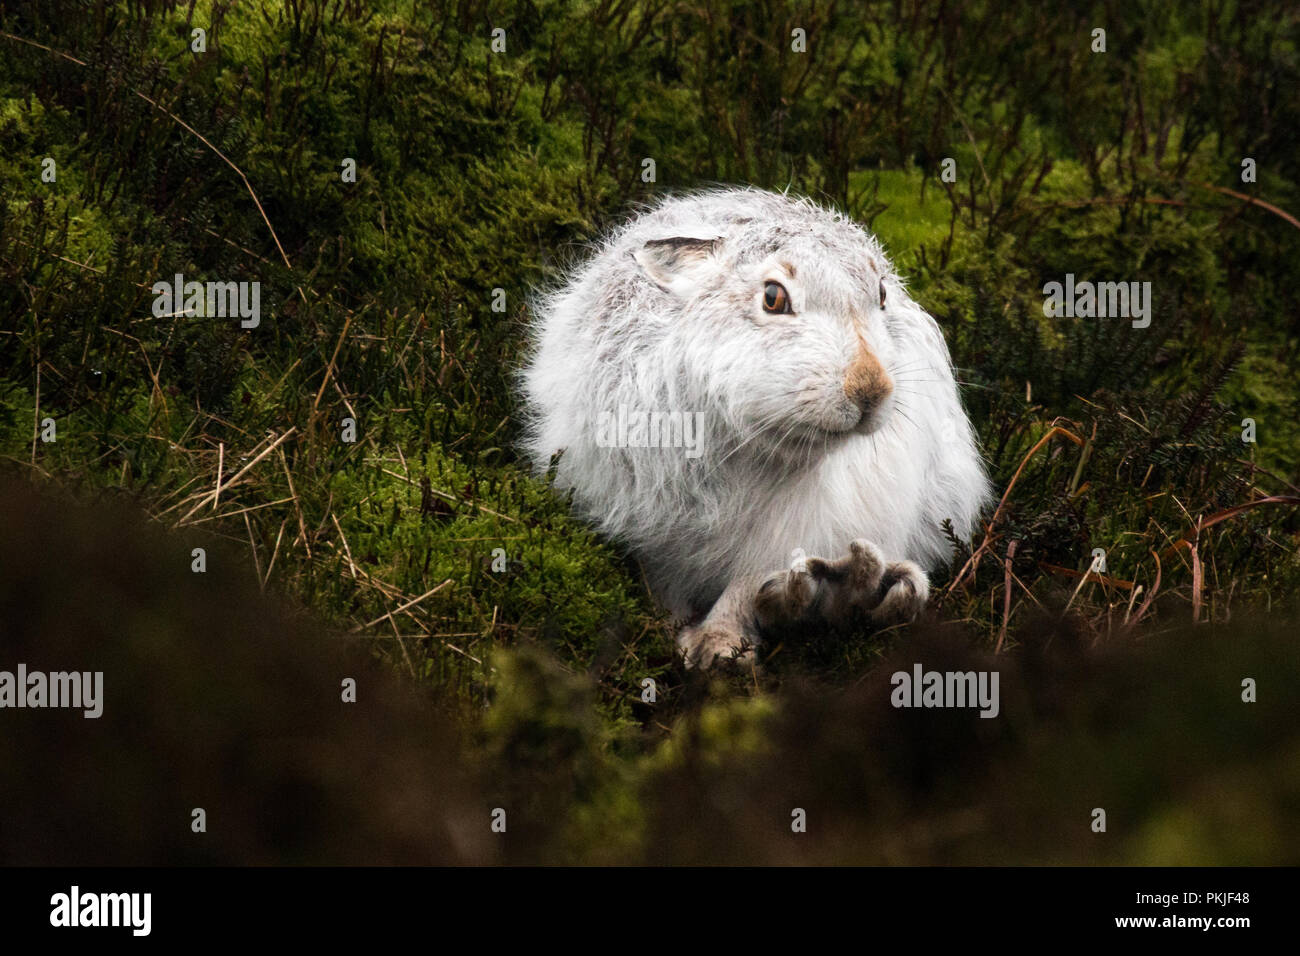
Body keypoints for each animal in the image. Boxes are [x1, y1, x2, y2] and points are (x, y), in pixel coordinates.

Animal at [519, 186, 991, 668]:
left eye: (880, 295)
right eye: (772, 297)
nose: (870, 388)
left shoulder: (793, 528)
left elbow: (746, 582)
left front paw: (717, 644)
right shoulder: (649, 519)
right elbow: (664, 579)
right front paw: (670, 629)